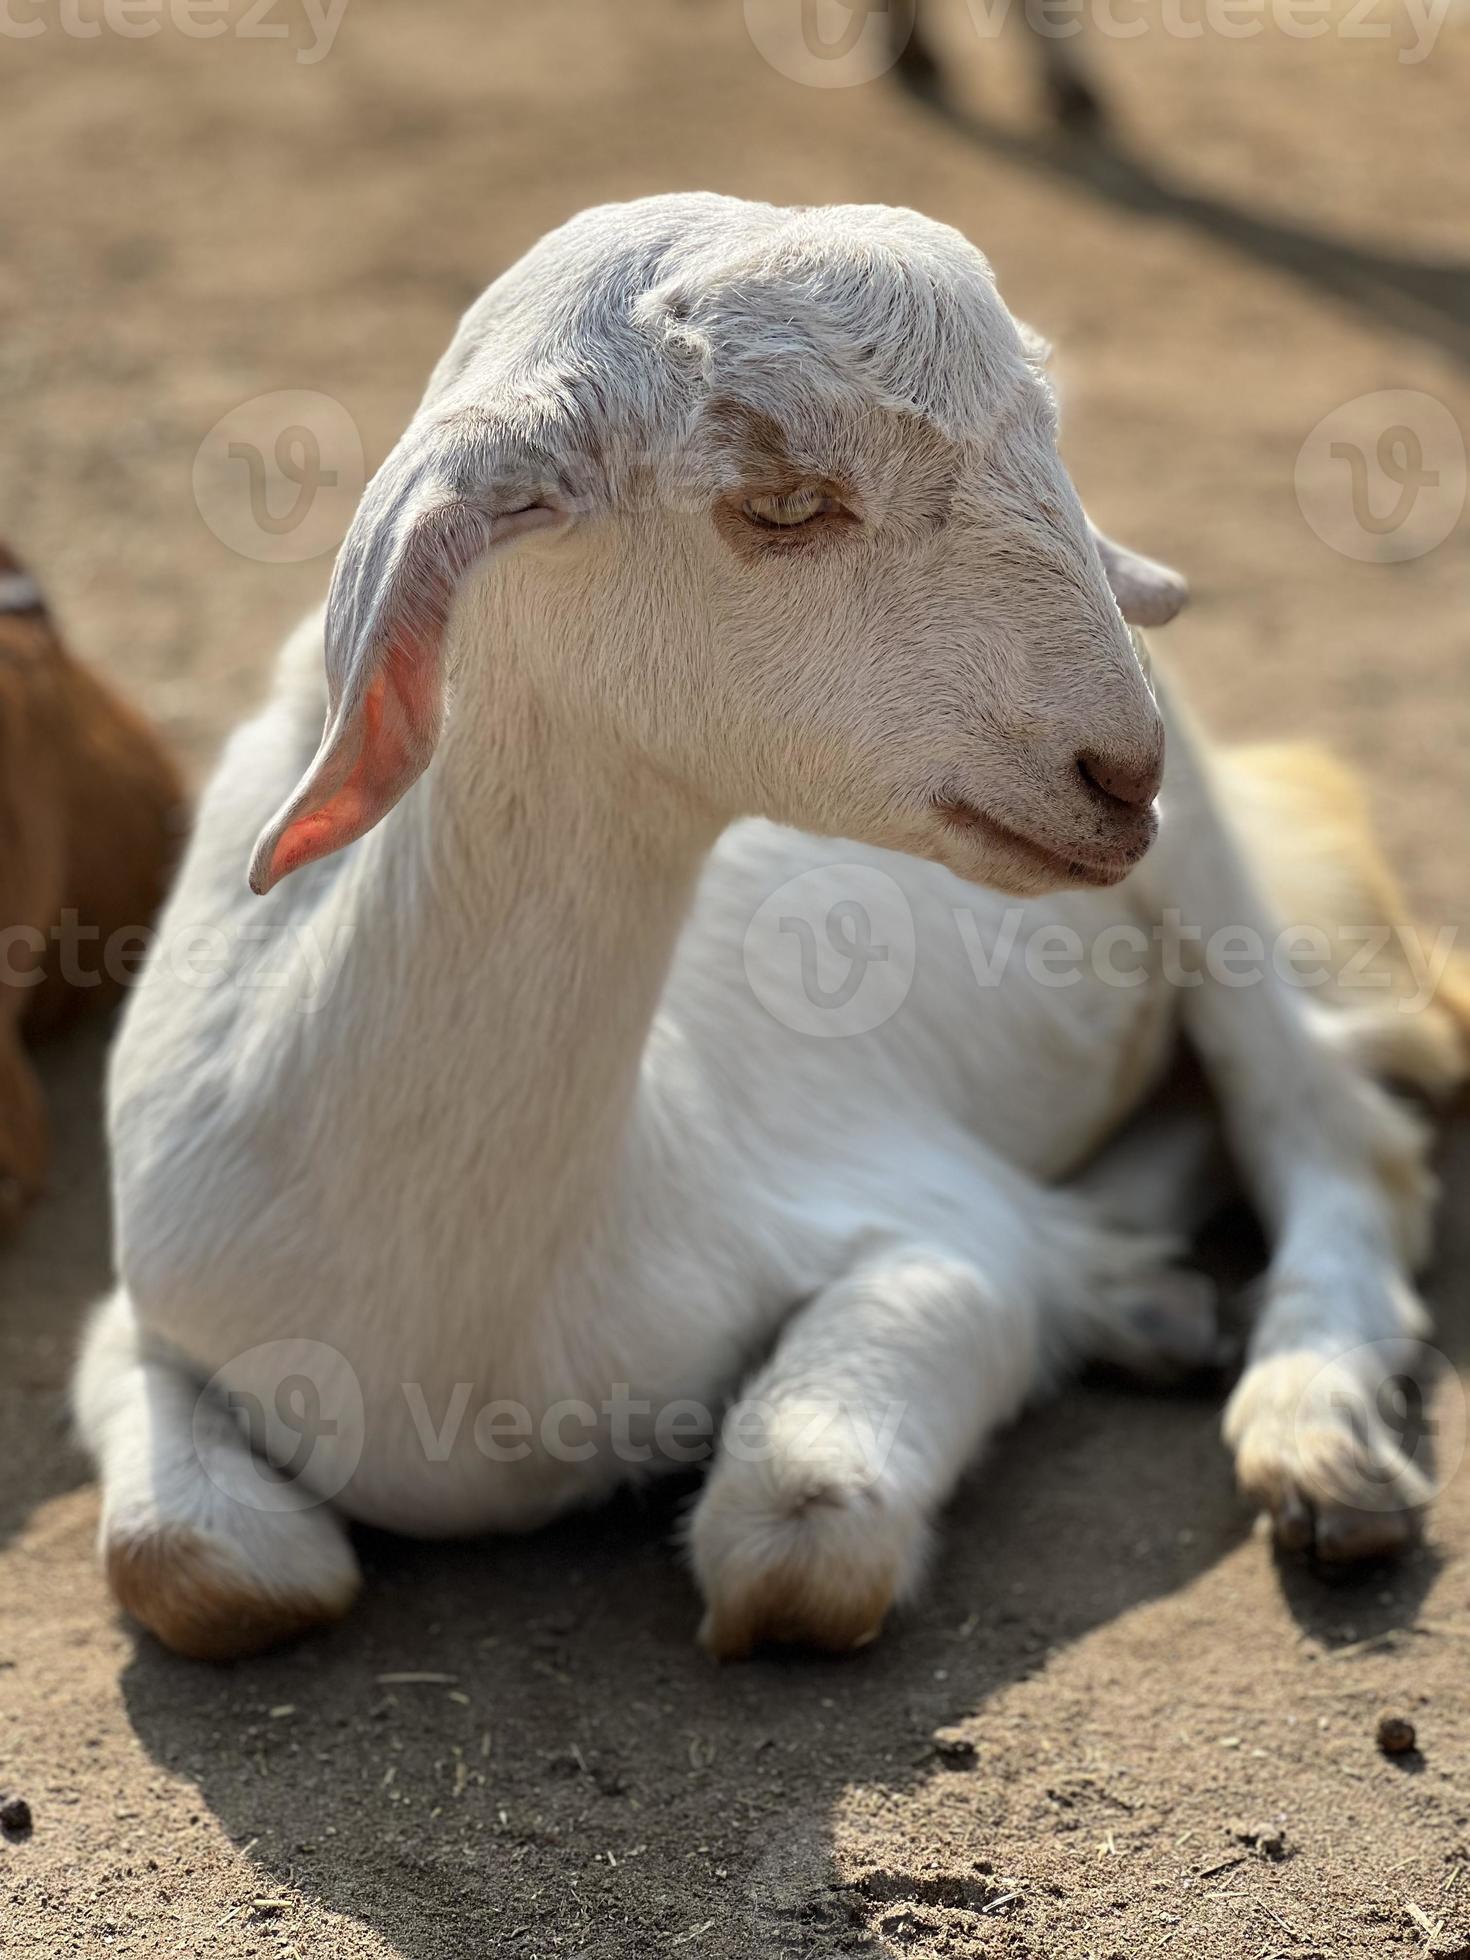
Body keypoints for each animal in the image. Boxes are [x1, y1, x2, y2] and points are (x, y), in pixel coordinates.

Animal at [73, 195, 1468, 1661]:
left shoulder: (909, 1220)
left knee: (1333, 1127)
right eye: (785, 504)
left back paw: (1316, 1442)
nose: (1114, 770)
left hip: (1212, 881)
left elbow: (798, 1538)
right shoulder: (144, 1310)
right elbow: (195, 1562)